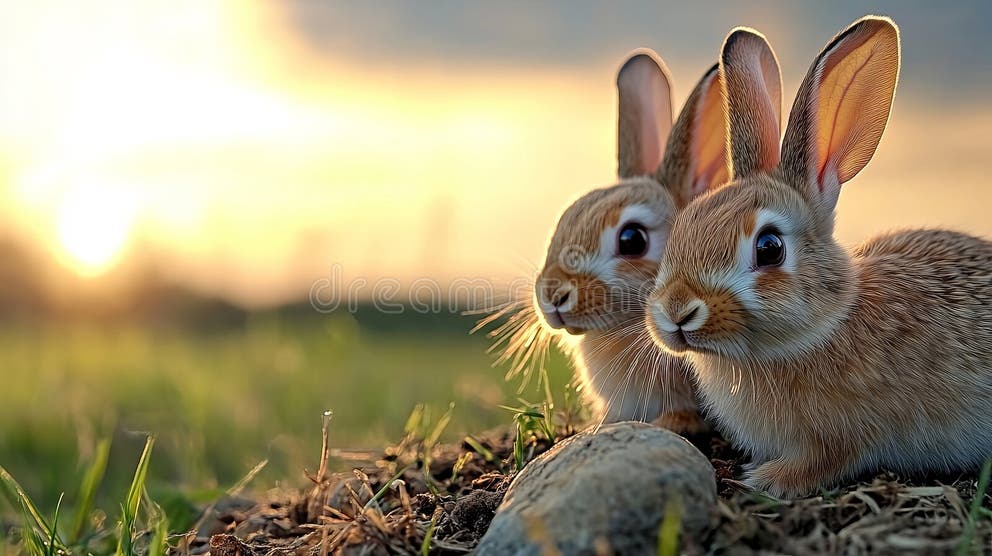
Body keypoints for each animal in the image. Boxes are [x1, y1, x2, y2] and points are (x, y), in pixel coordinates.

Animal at [645, 16, 992, 497]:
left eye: (769, 248)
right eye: (681, 227)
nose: (676, 311)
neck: (823, 327)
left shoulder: (852, 434)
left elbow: (828, 460)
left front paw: (769, 479)